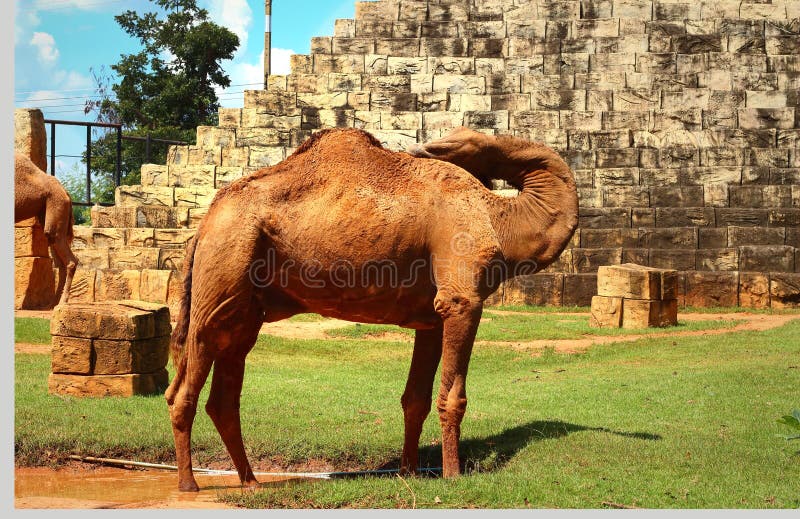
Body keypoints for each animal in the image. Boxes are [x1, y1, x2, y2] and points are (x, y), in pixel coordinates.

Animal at [14, 152, 78, 306]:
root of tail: (66, 193)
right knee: (60, 263)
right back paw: (52, 303)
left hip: (56, 205)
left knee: (70, 260)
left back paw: (62, 303)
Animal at [166, 126, 578, 492]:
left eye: (449, 140)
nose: (421, 146)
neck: (501, 216)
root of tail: (203, 225)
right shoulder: (461, 296)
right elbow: (453, 397)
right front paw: (453, 476)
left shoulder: (431, 318)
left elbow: (416, 399)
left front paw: (409, 473)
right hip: (226, 262)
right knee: (188, 376)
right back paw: (188, 483)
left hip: (244, 306)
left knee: (224, 386)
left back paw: (250, 482)